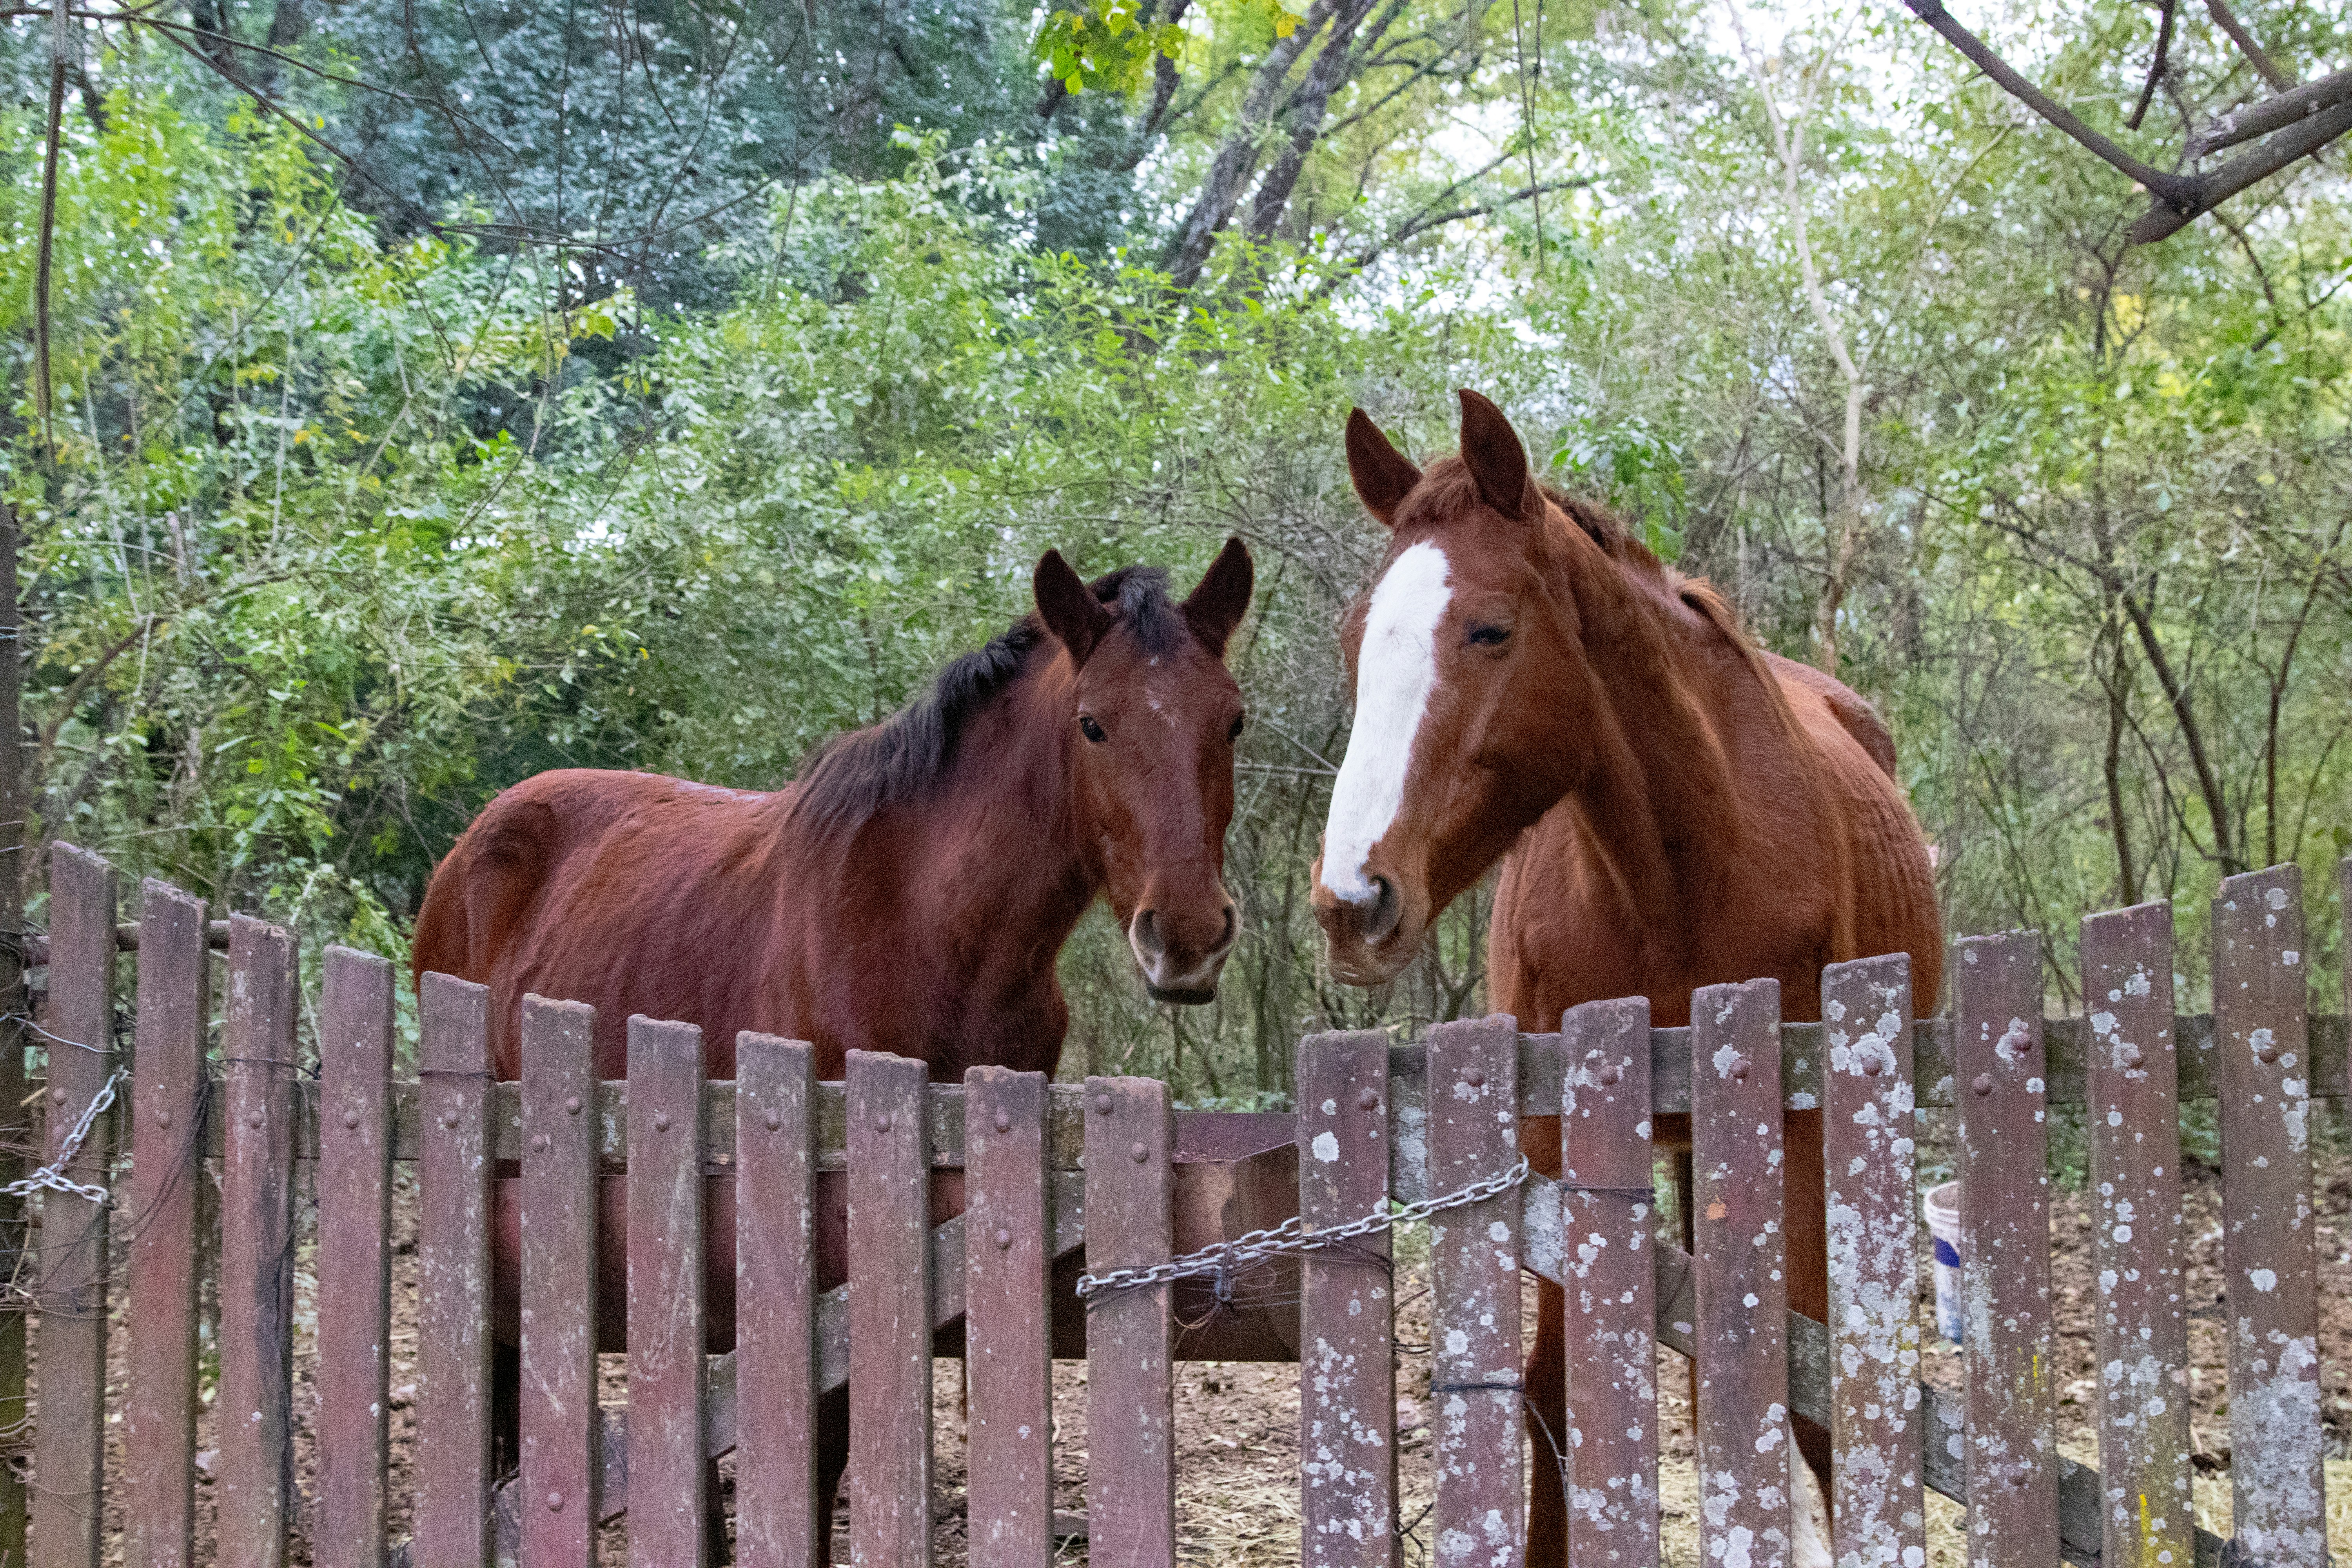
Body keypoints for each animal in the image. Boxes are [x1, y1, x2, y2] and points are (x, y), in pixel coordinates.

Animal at [413, 540, 1255, 1553]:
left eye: (1233, 720)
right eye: (1094, 724)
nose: (1188, 935)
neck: (929, 927)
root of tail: (478, 838)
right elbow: (817, 1440)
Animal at [1308, 392, 1940, 1568]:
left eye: (1490, 630)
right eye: (1355, 639)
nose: (1352, 899)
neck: (1682, 873)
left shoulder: (1799, 1123)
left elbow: (1814, 1405)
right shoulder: (1559, 1141)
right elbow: (1555, 1395)